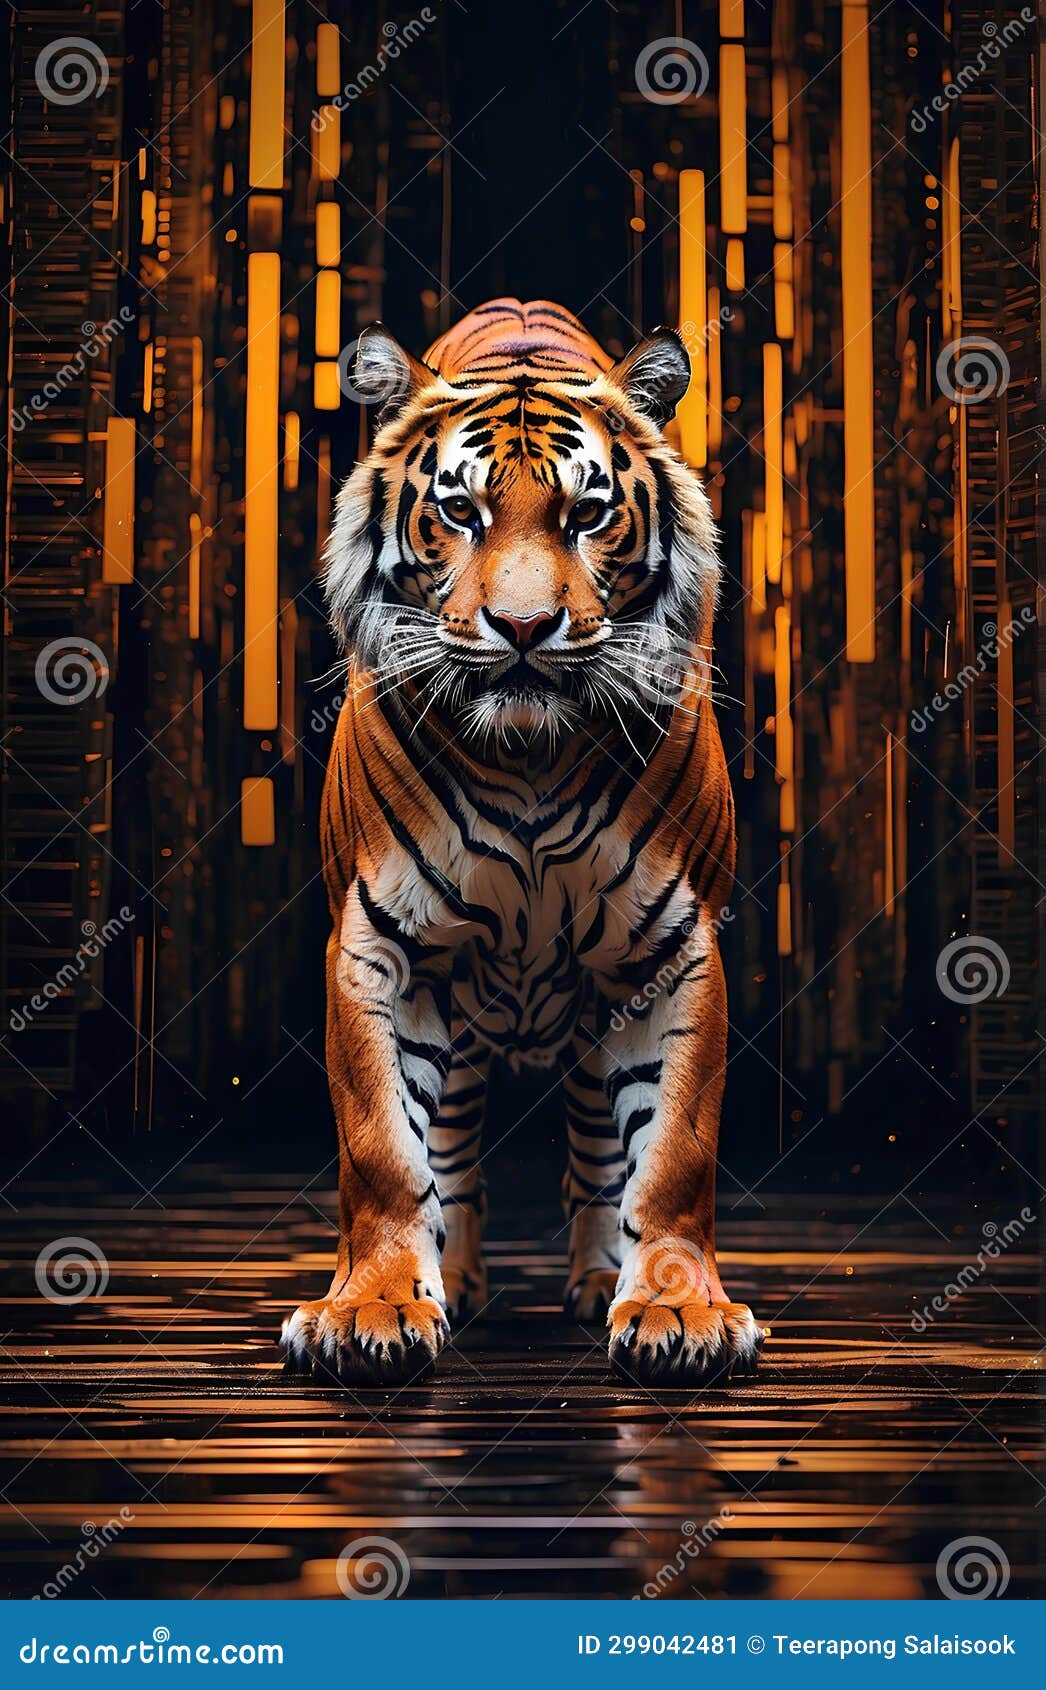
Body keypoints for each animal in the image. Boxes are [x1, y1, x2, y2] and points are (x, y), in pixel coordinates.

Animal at [280, 298, 763, 1389]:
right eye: (459, 512)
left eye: (587, 515)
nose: (526, 626)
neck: (528, 756)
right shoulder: (375, 949)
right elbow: (384, 1148)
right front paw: (371, 1310)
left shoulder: (674, 953)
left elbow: (671, 1150)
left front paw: (680, 1313)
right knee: (453, 1144)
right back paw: (450, 1280)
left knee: (596, 1145)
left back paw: (598, 1279)